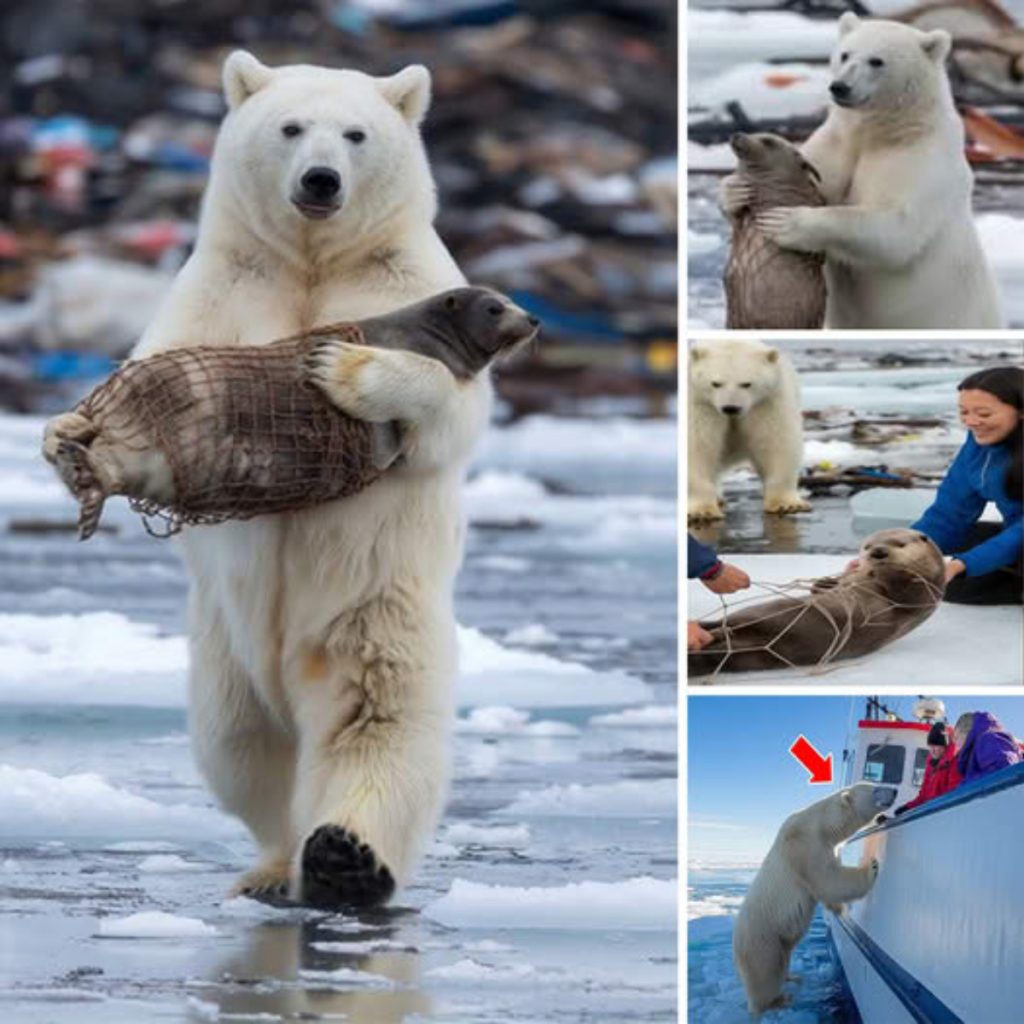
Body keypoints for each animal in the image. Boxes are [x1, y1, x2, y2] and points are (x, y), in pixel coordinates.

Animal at [54, 51, 485, 908]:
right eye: (290, 128)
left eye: (355, 134)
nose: (320, 180)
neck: (313, 260)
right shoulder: (221, 287)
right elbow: (168, 380)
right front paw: (80, 439)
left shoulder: (402, 279)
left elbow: (451, 409)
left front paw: (348, 369)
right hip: (221, 648)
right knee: (241, 746)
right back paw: (272, 865)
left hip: (378, 610)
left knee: (378, 719)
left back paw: (347, 857)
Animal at [688, 338, 810, 522]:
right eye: (715, 383)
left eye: (746, 384)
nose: (730, 408)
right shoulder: (699, 403)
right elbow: (698, 447)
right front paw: (702, 511)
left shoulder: (767, 402)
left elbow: (776, 443)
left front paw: (786, 505)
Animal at [720, 14, 1003, 329]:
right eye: (845, 54)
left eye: (877, 61)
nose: (840, 87)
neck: (882, 132)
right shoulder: (836, 143)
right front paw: (735, 190)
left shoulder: (923, 160)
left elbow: (897, 228)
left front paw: (786, 222)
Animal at [733, 782, 896, 1016]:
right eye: (875, 788)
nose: (895, 791)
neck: (821, 825)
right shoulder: (805, 846)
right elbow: (828, 879)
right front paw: (871, 867)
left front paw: (837, 908)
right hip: (762, 941)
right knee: (765, 974)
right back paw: (777, 1000)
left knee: (784, 957)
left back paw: (792, 976)